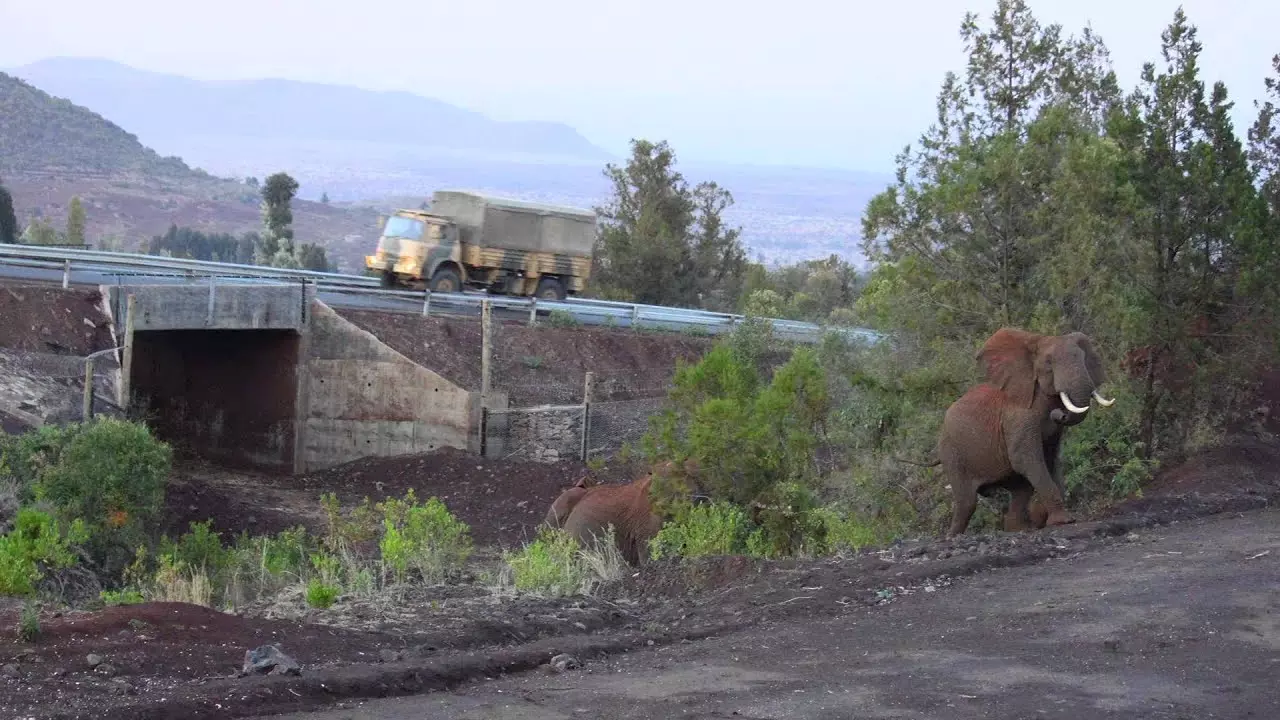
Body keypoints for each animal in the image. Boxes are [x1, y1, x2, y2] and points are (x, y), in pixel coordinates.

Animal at [936, 327, 1116, 535]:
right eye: (1049, 363)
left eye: (1083, 358)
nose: (1058, 414)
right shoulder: (1017, 416)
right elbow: (1026, 457)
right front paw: (1062, 521)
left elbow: (1050, 459)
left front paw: (1051, 518)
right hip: (952, 454)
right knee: (967, 502)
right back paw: (953, 536)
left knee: (1020, 489)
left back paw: (1020, 529)